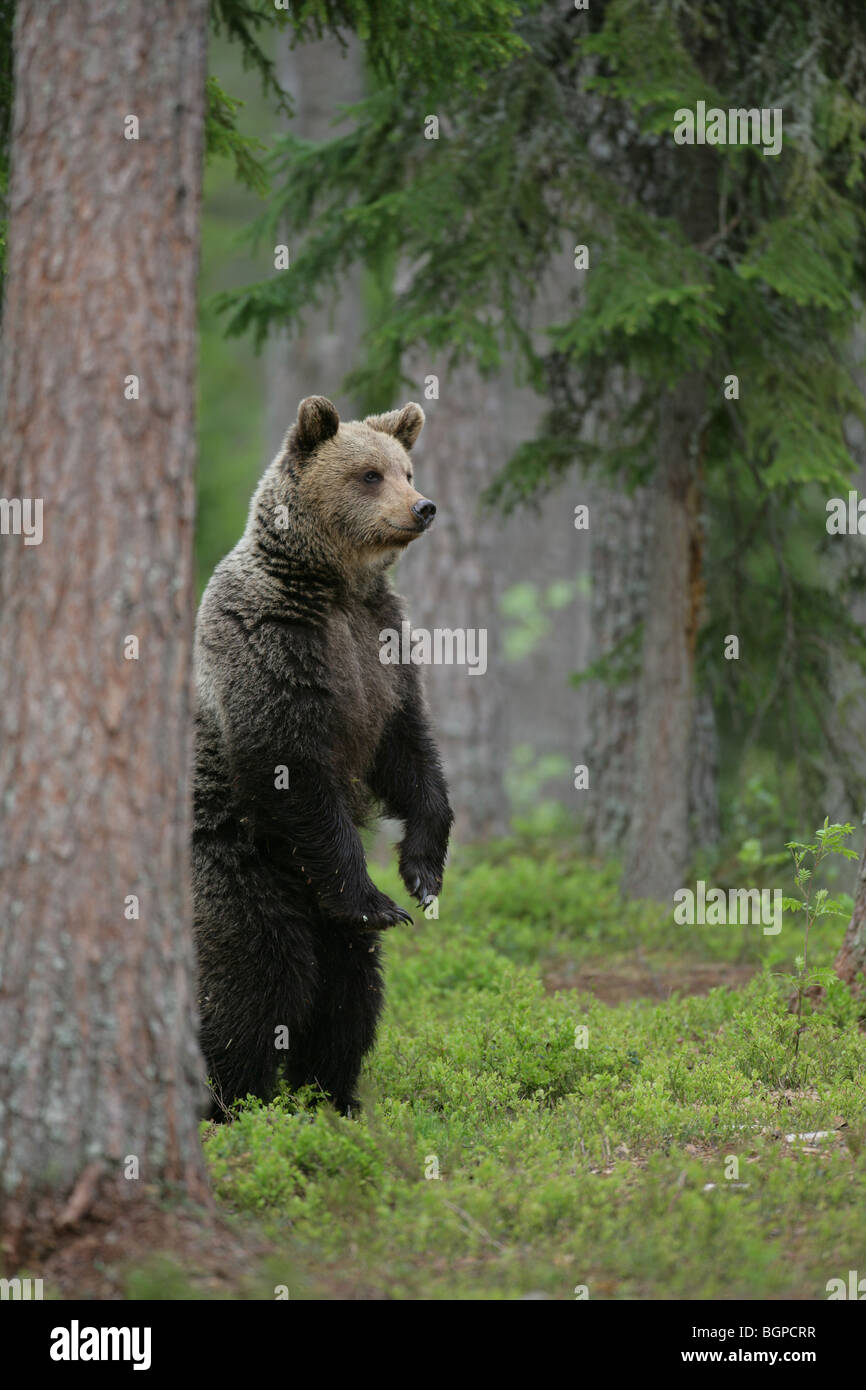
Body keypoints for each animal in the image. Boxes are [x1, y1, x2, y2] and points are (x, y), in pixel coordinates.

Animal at [192, 395, 453, 1118]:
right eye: (369, 475)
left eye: (406, 468)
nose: (424, 506)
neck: (333, 587)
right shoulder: (275, 644)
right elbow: (292, 769)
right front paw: (379, 899)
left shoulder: (382, 650)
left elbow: (409, 753)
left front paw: (421, 873)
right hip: (239, 867)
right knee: (255, 982)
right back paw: (235, 1101)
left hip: (317, 913)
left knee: (350, 988)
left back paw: (331, 1095)